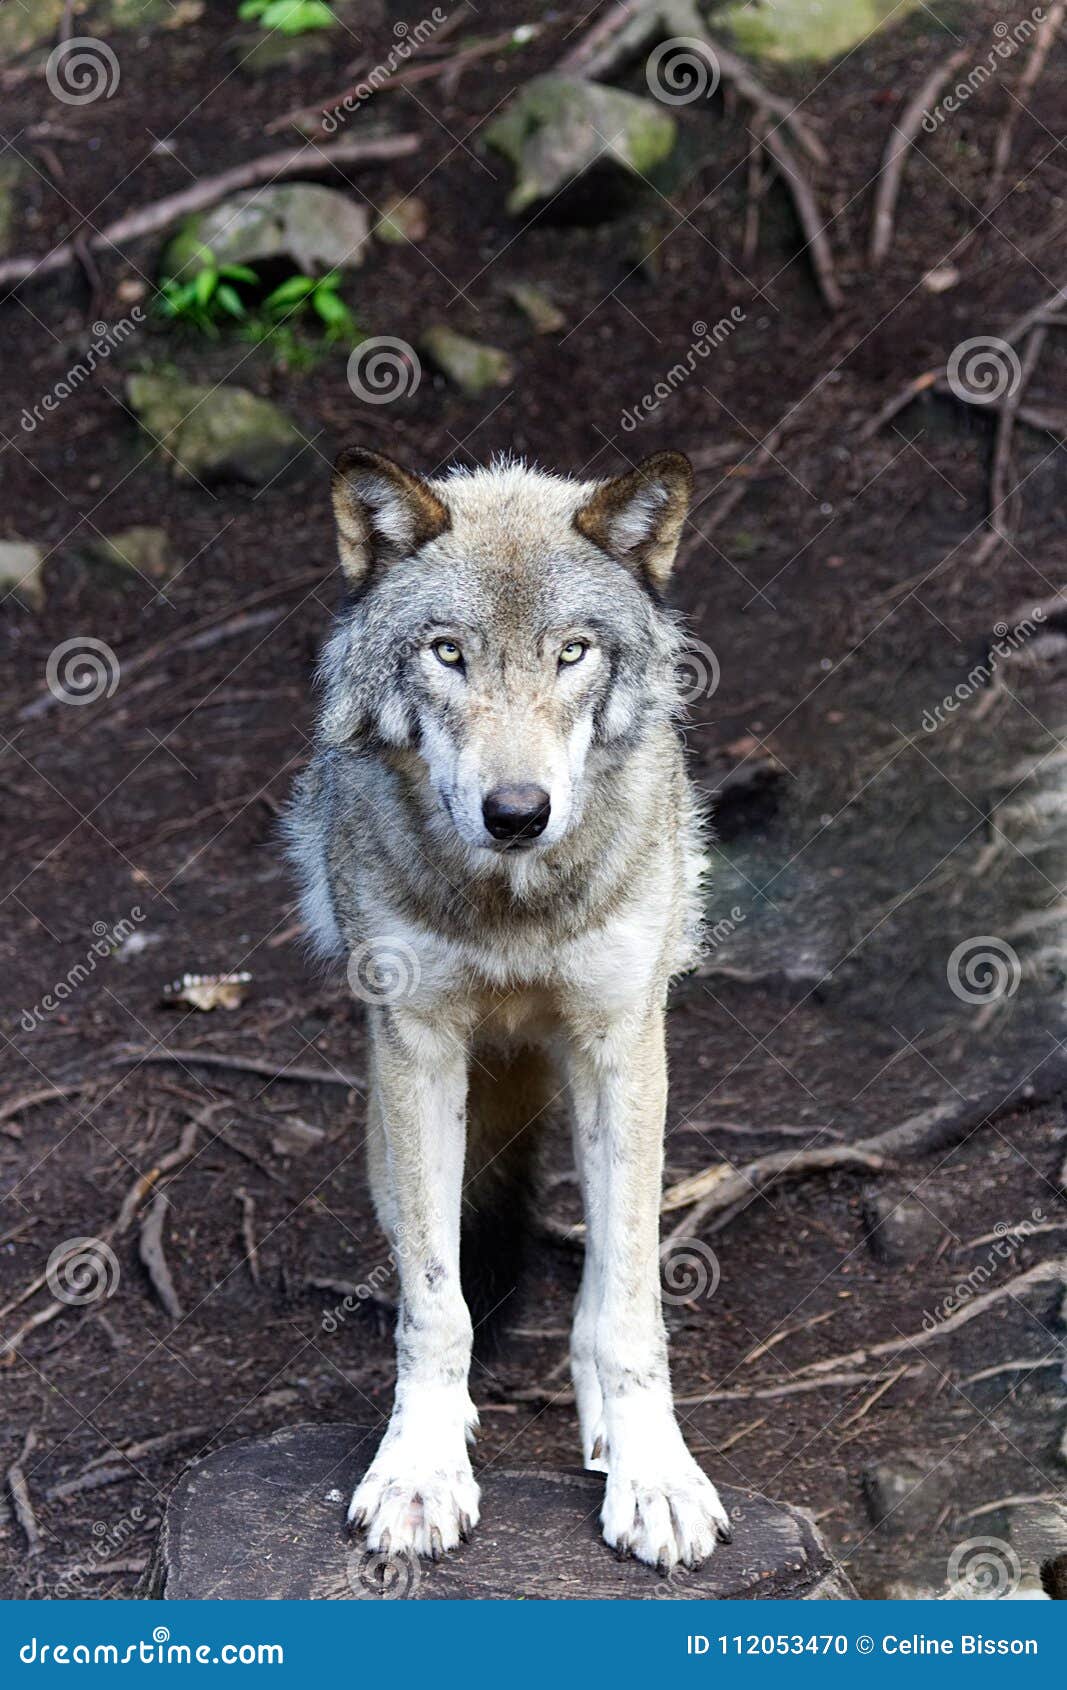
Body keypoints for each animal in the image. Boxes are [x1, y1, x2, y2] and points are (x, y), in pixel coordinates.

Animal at [285, 444, 731, 1572]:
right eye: (447, 653)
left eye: (571, 652)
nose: (516, 813)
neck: (513, 910)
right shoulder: (416, 1050)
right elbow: (435, 1309)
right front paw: (419, 1474)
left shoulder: (621, 1043)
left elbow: (628, 1311)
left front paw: (653, 1479)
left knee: (607, 1278)